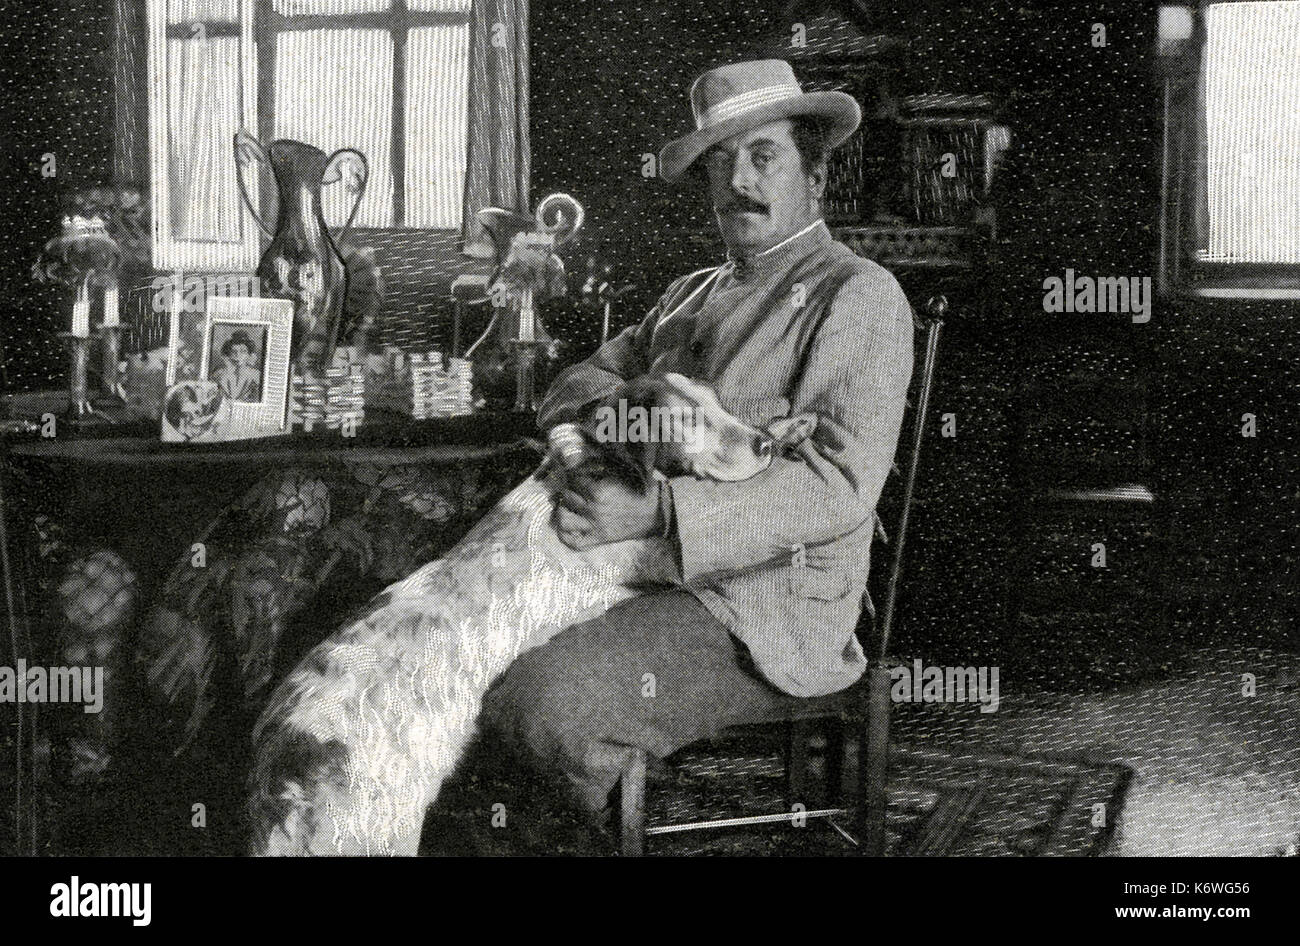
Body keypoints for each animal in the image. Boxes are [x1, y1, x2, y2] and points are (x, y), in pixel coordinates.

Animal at [245, 374, 811, 852]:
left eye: (718, 402)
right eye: (689, 419)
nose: (761, 444)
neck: (594, 469)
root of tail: (284, 767)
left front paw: (793, 428)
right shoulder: (655, 561)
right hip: (383, 831)